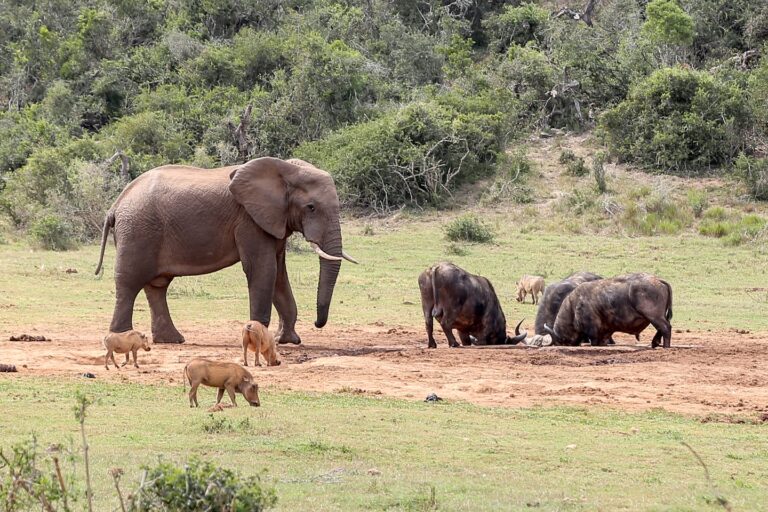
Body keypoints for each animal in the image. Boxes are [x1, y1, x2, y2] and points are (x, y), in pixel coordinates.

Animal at [95, 157, 357, 344]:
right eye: (311, 207)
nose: (317, 323)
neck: (284, 169)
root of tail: (115, 205)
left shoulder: (274, 220)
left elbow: (279, 274)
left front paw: (288, 341)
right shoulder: (249, 220)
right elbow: (263, 269)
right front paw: (263, 340)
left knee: (157, 286)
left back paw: (172, 340)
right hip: (138, 231)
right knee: (129, 282)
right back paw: (123, 337)